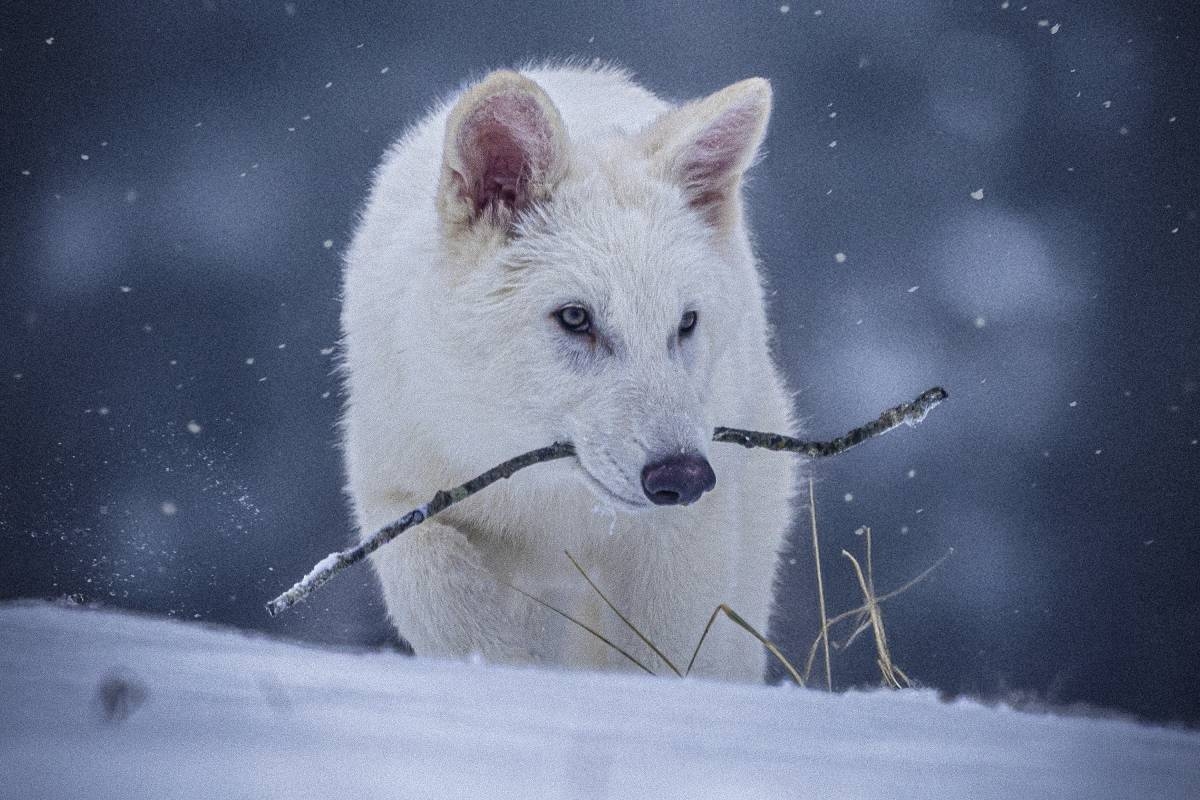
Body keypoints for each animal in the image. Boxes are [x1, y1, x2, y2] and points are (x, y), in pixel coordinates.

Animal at [341, 63, 798, 681]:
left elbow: (663, 655)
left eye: (685, 322)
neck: (550, 498)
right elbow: (447, 599)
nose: (683, 476)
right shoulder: (397, 496)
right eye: (576, 317)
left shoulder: (678, 540)